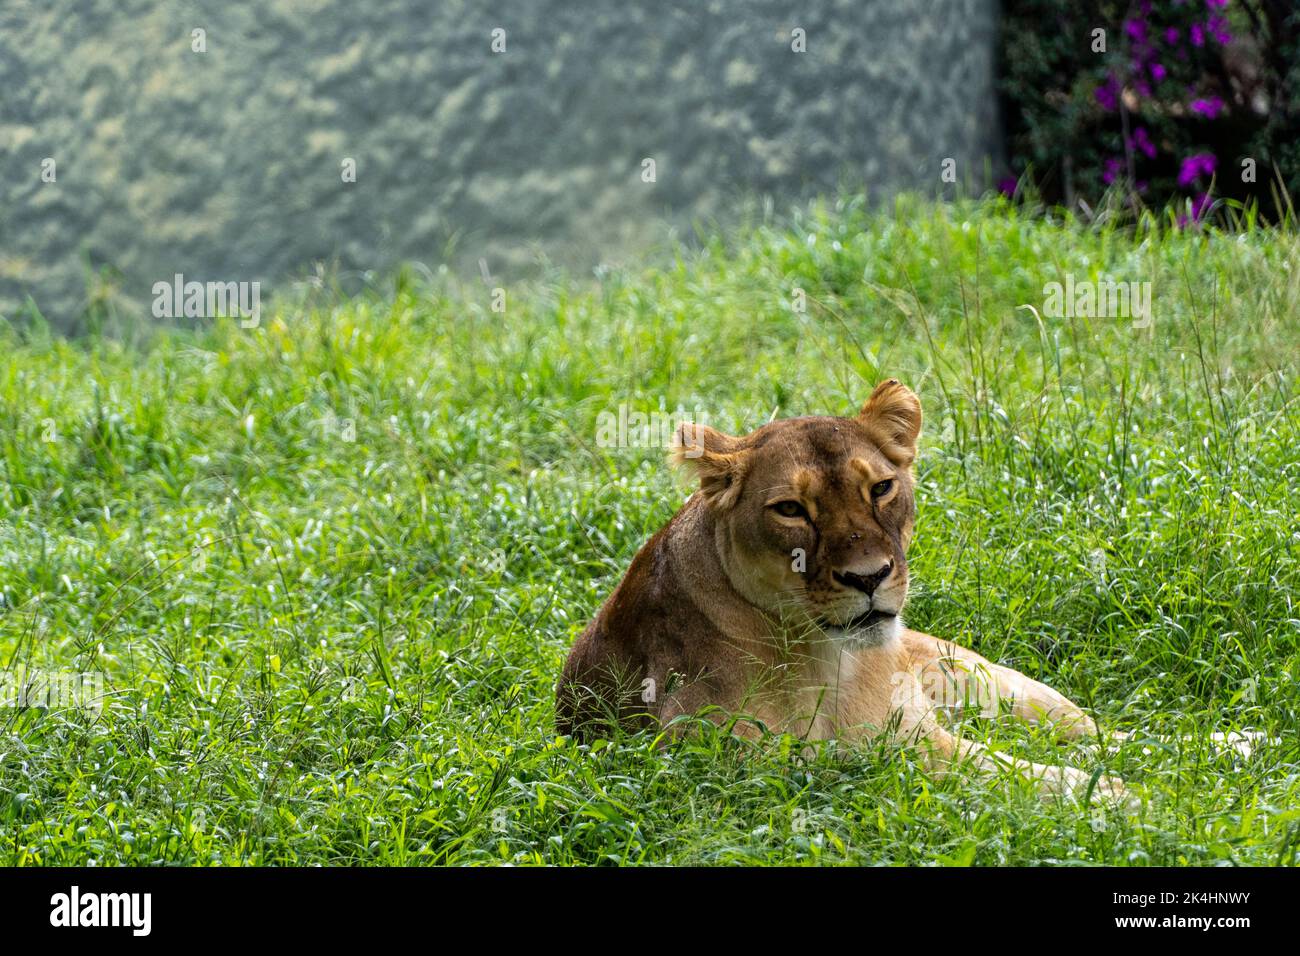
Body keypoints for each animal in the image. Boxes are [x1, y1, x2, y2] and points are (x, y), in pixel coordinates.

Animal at [556, 379, 1126, 800]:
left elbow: (1026, 770)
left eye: (881, 488)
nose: (869, 577)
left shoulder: (915, 733)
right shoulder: (743, 767)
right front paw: (1124, 801)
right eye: (790, 509)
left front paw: (1127, 796)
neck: (829, 658)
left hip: (988, 682)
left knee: (1089, 727)